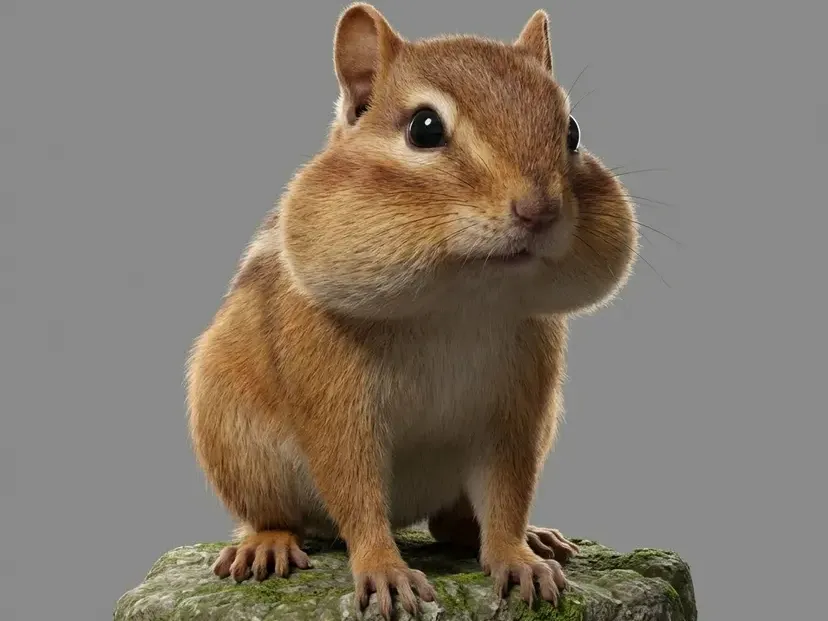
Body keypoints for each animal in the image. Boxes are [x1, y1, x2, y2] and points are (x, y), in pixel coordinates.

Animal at [186, 3, 639, 618]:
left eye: (571, 131)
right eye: (424, 128)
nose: (539, 209)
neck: (457, 298)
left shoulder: (519, 408)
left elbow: (508, 492)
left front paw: (517, 557)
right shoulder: (334, 399)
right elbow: (353, 488)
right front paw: (384, 570)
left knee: (453, 523)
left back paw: (528, 536)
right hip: (236, 444)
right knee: (274, 513)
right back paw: (267, 543)